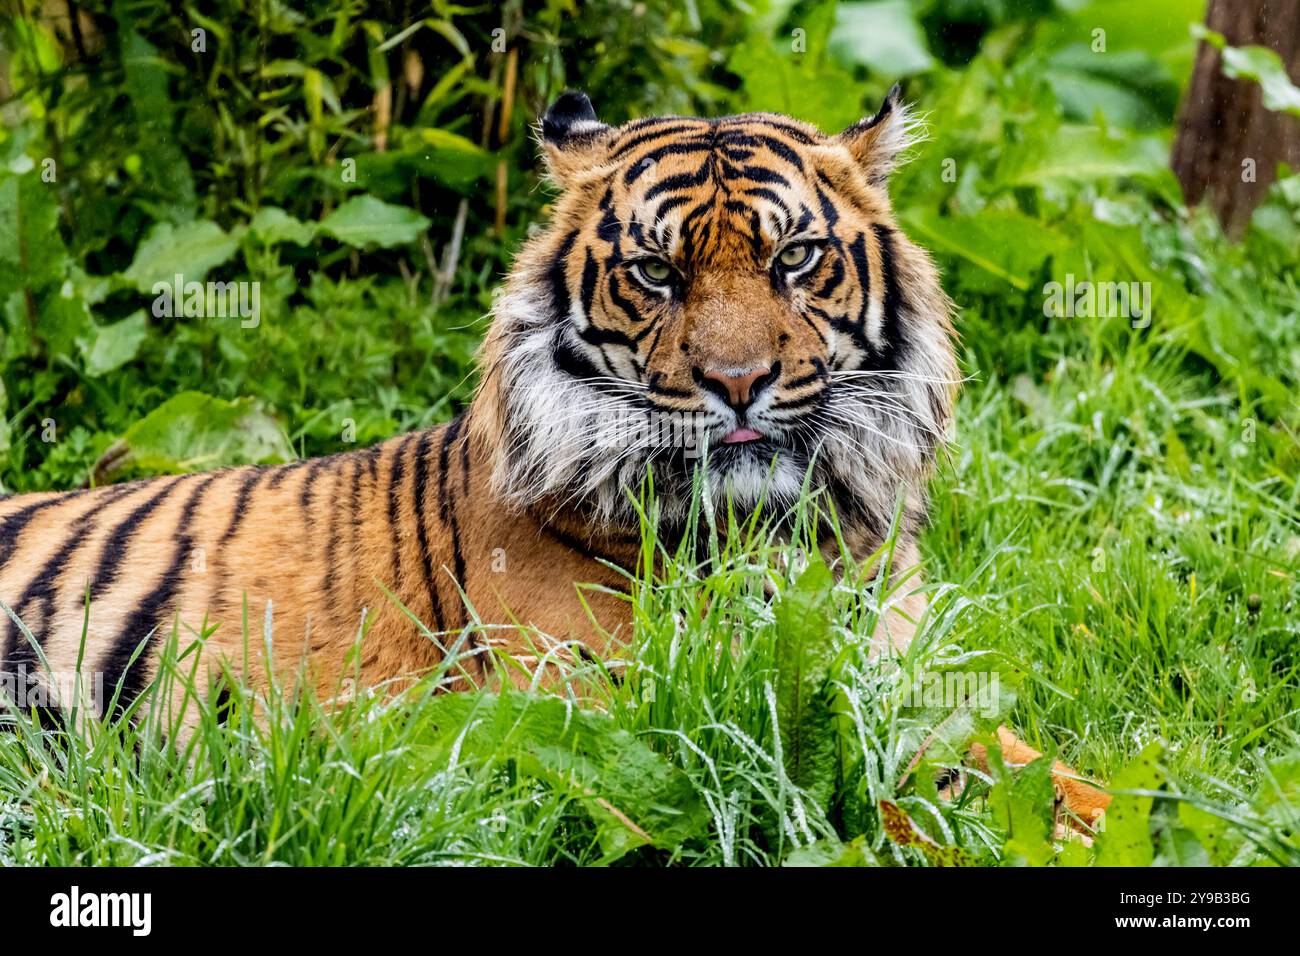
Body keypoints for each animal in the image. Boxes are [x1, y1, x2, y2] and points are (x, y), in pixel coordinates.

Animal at [0, 88, 1110, 827]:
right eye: (656, 273)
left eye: (794, 258)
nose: (738, 382)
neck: (784, 535)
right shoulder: (621, 720)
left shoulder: (911, 683)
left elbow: (1049, 767)